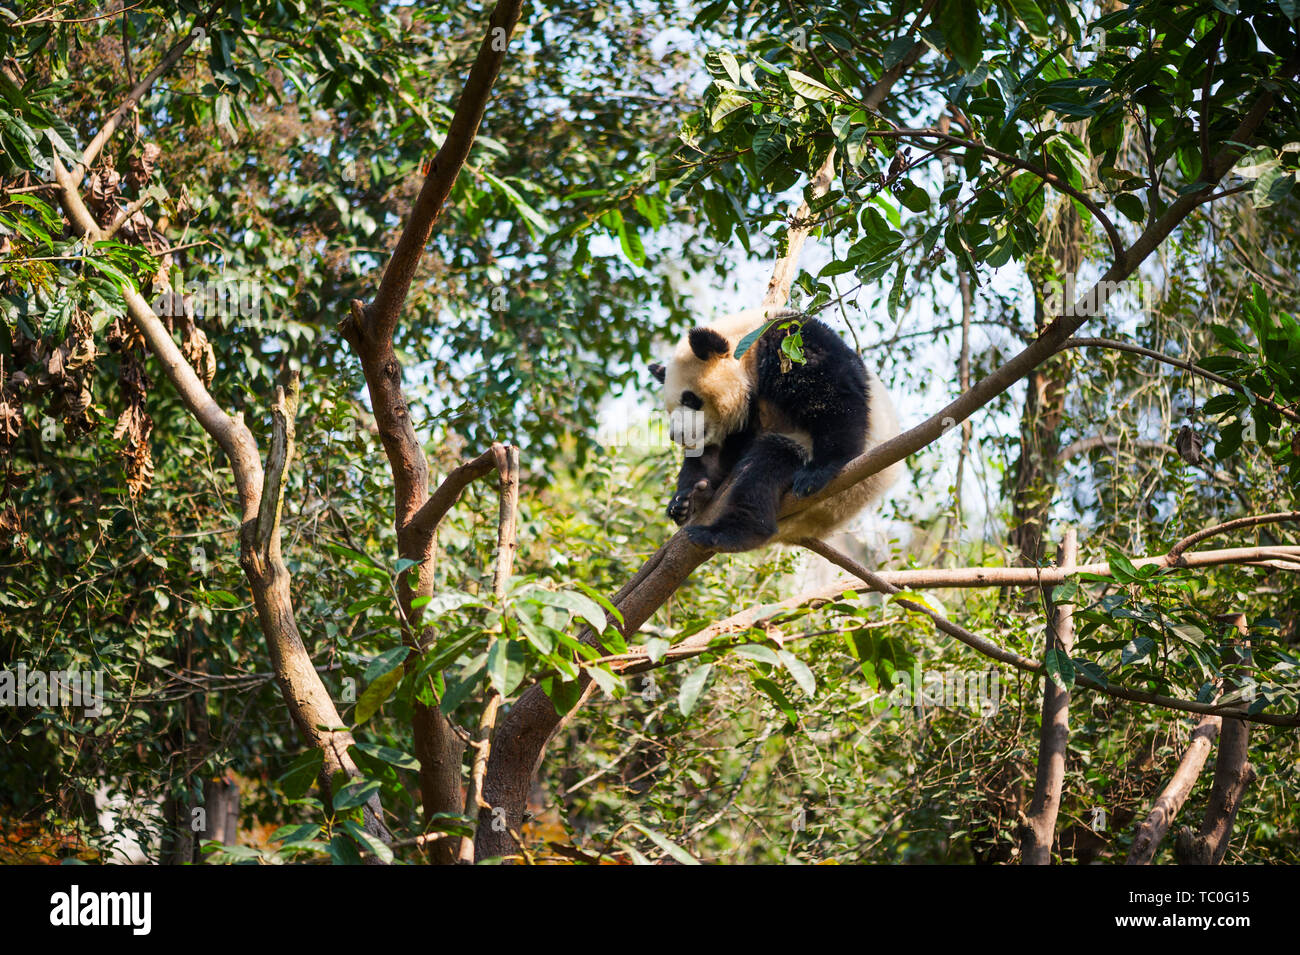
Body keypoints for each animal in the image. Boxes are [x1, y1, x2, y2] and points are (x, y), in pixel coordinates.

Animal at [649, 307, 901, 553]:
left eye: (690, 399)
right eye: (670, 409)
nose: (677, 435)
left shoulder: (792, 345)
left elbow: (833, 398)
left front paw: (819, 472)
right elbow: (712, 457)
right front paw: (683, 501)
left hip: (834, 479)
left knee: (764, 467)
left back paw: (728, 533)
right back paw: (696, 499)